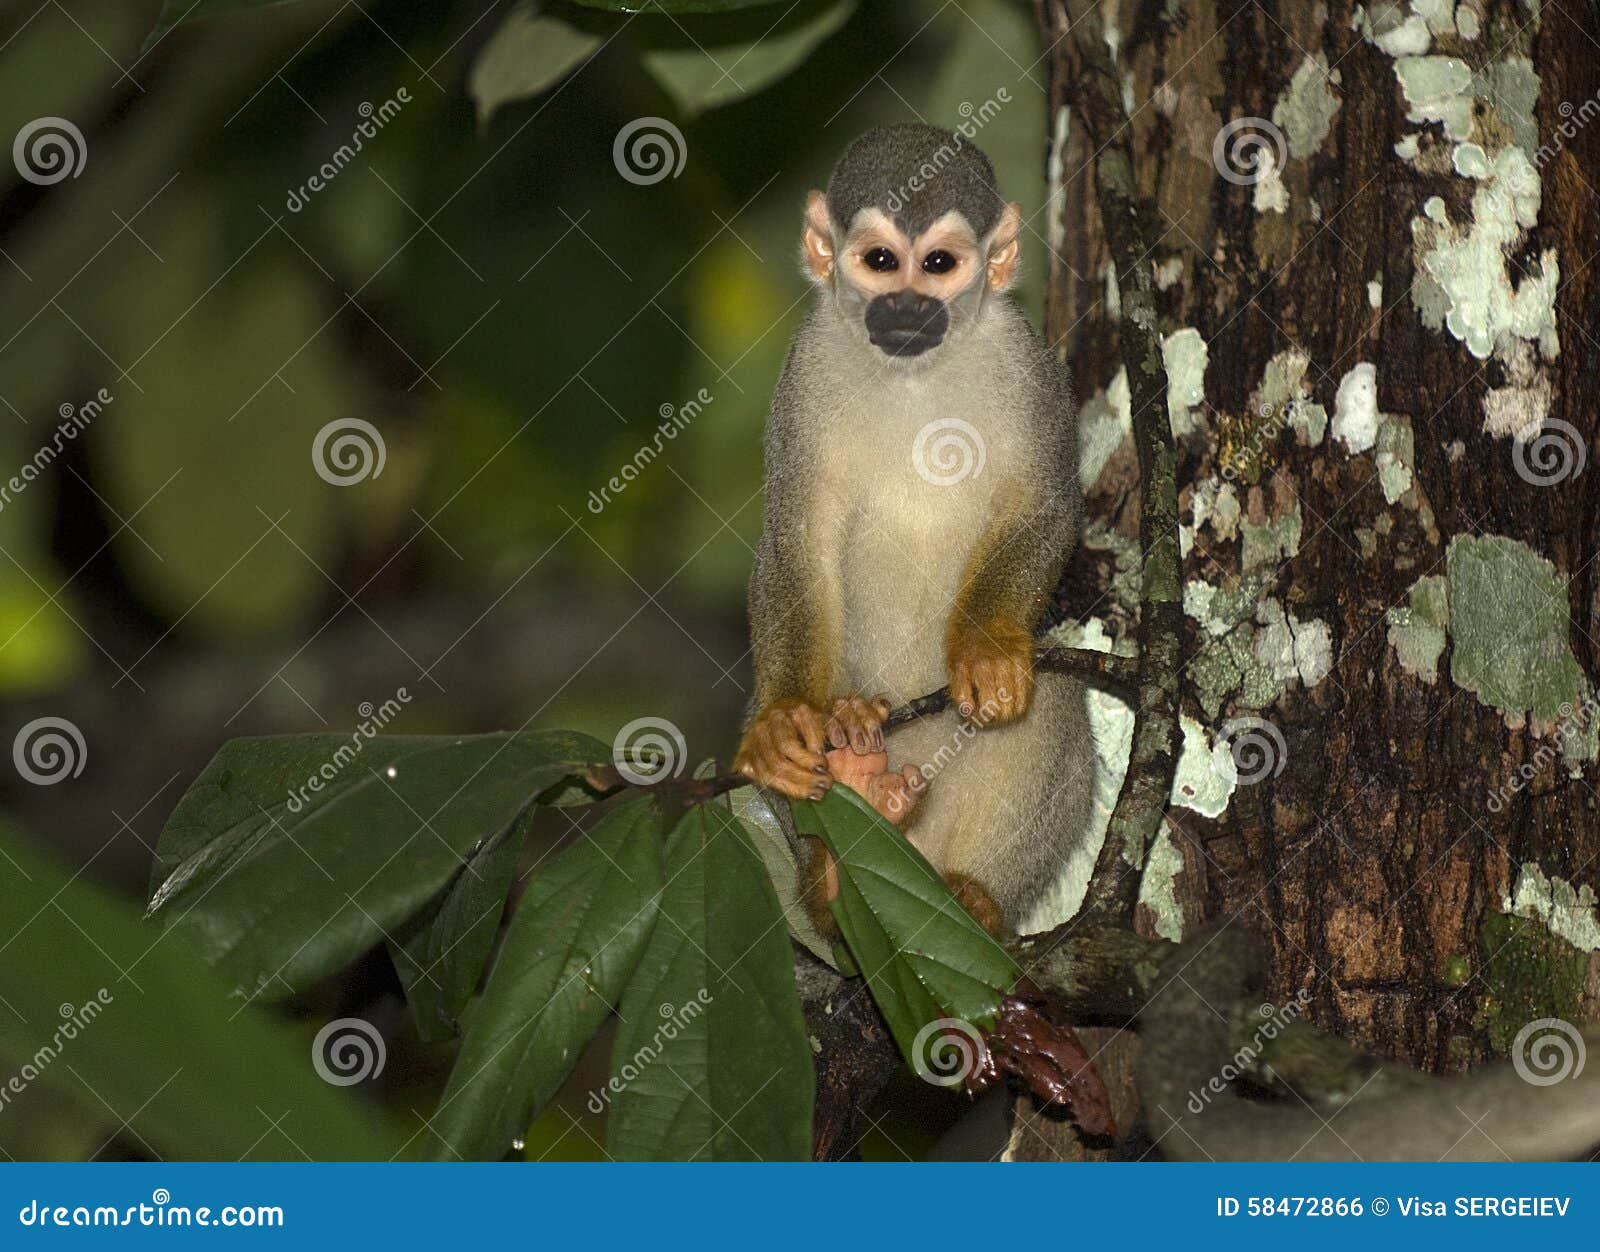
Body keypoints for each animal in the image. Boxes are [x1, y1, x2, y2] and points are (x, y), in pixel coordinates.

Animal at [734, 123, 1096, 936]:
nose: (905, 307)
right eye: (879, 262)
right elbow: (795, 540)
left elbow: (1045, 505)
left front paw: (986, 650)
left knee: (1054, 693)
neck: (912, 377)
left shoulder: (1026, 360)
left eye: (937, 265)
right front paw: (783, 720)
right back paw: (840, 849)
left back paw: (977, 898)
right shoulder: (804, 370)